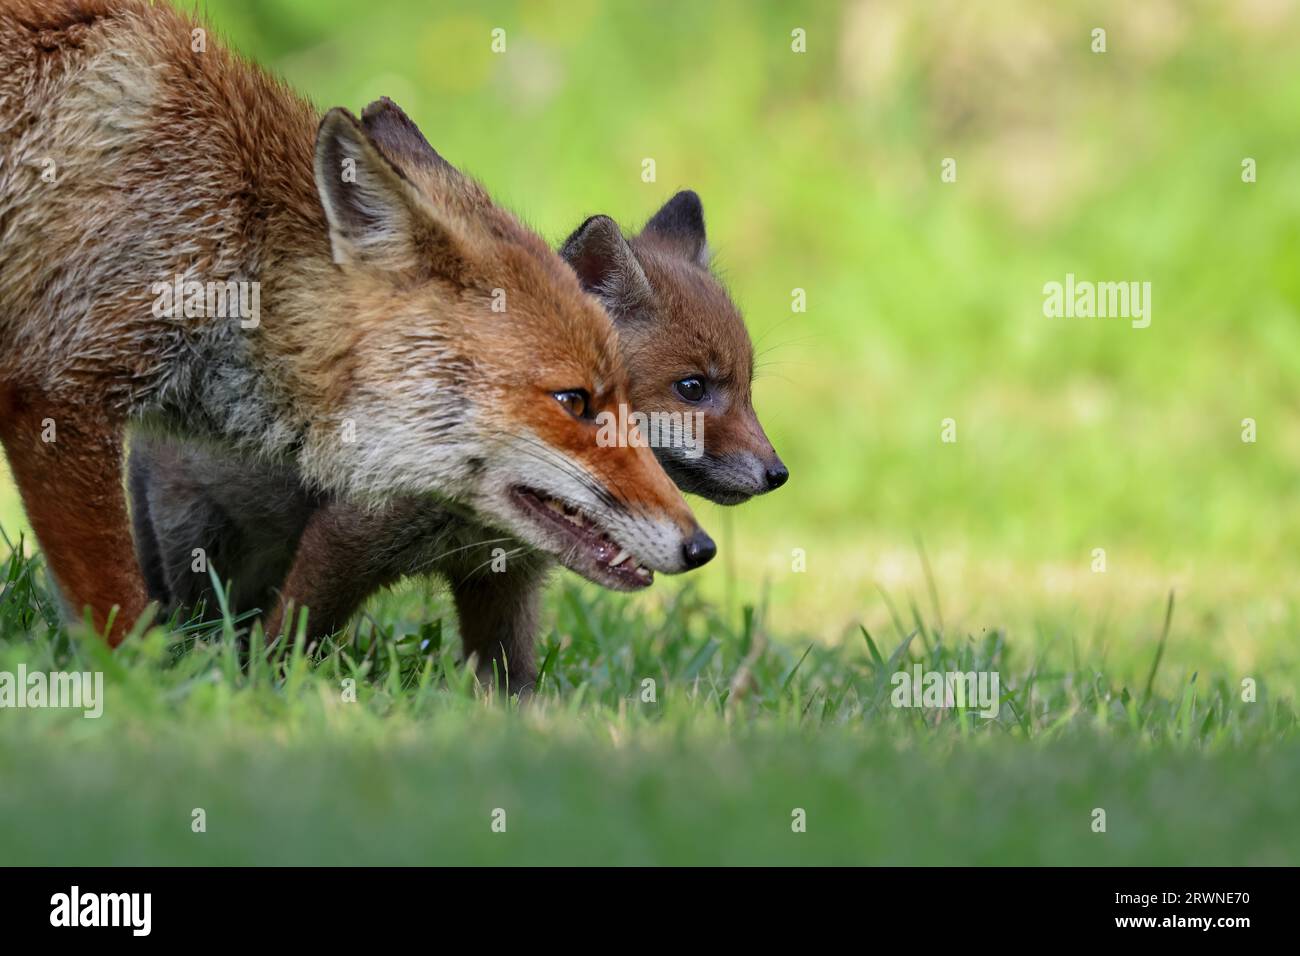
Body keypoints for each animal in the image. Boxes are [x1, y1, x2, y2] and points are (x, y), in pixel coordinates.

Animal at [0, 0, 713, 648]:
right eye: (574, 401)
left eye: (628, 398)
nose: (701, 546)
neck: (233, 234)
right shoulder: (55, 394)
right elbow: (119, 616)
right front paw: (134, 683)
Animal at [129, 179, 787, 689]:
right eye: (693, 388)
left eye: (748, 390)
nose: (778, 473)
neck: (477, 517)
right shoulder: (343, 539)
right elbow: (286, 643)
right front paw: (260, 694)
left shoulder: (503, 579)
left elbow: (511, 682)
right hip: (196, 559)